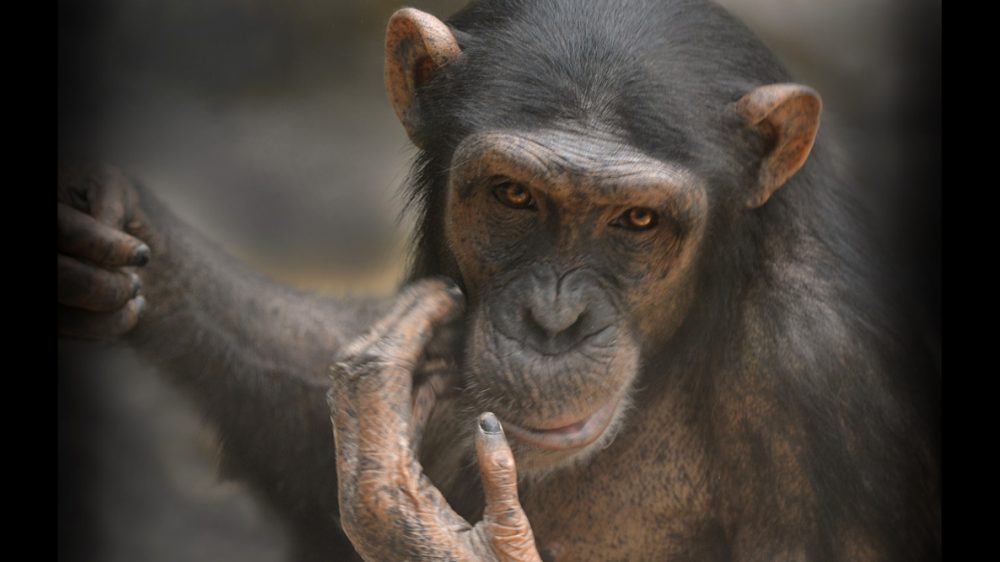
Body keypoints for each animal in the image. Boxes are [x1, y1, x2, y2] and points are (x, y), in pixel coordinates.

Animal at [57, 0, 940, 560]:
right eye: (514, 196)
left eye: (638, 221)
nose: (554, 320)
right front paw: (112, 226)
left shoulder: (826, 377)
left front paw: (407, 517)